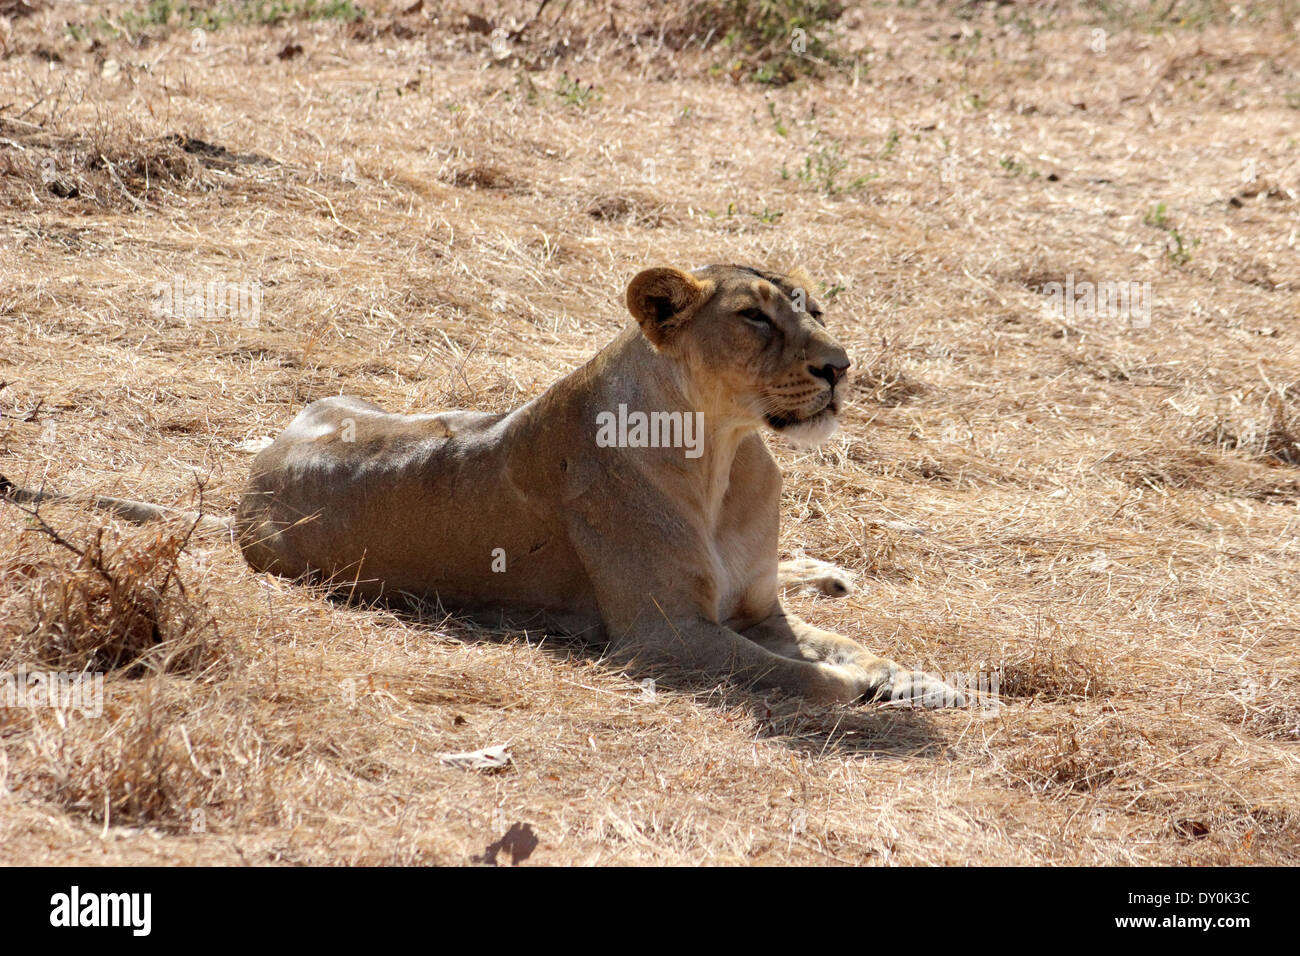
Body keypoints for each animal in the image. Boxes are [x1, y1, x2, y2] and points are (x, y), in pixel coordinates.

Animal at [2, 264, 963, 707]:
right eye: (755, 318)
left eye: (816, 310)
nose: (840, 367)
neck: (725, 454)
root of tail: (251, 474)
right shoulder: (663, 638)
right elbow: (804, 676)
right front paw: (874, 699)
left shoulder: (759, 610)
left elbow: (850, 647)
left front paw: (927, 680)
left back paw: (830, 571)